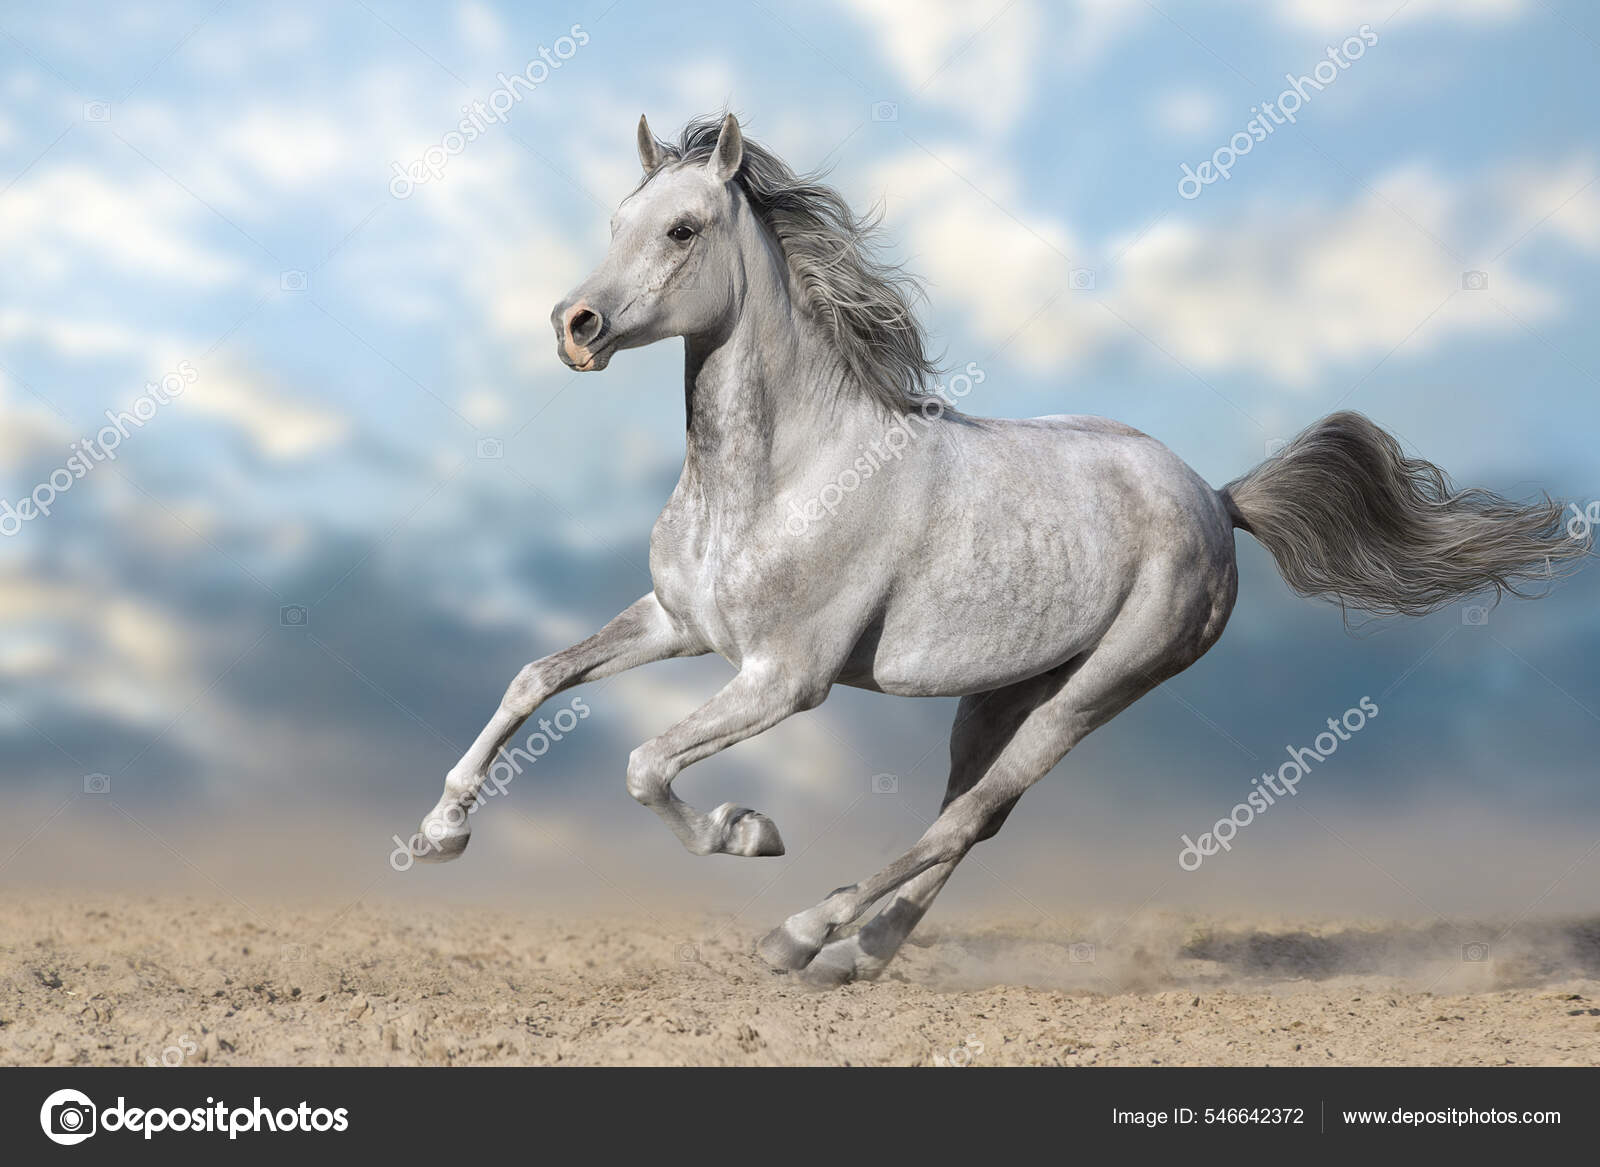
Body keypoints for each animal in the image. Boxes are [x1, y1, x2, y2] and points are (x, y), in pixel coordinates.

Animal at [409, 112, 1589, 987]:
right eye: (618, 218)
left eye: (685, 229)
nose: (575, 326)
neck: (786, 472)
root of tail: (1214, 499)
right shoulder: (678, 625)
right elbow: (536, 677)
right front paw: (438, 834)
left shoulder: (784, 680)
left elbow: (646, 763)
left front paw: (748, 831)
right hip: (1002, 696)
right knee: (973, 818)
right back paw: (857, 952)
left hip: (1097, 692)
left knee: (969, 816)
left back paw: (803, 934)